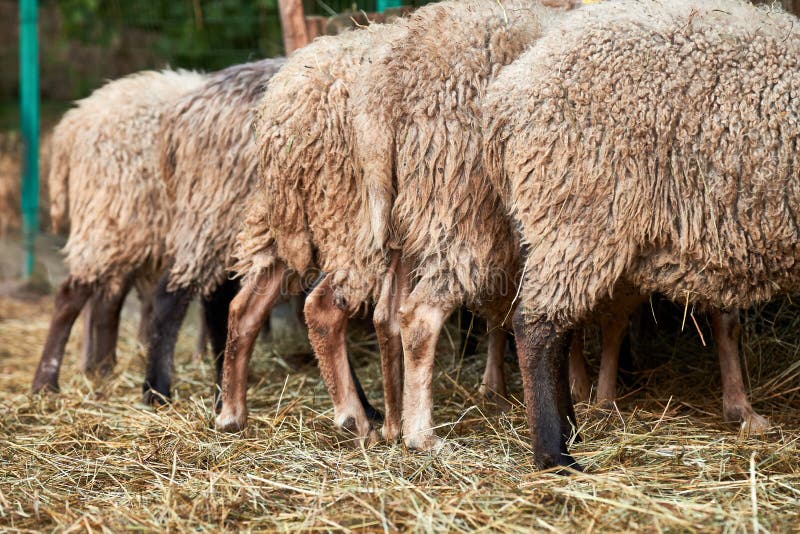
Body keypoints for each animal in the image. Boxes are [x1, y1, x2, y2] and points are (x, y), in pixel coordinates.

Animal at [31, 70, 205, 393]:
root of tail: (74, 123)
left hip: (128, 231)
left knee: (108, 301)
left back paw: (104, 368)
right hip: (115, 216)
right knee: (71, 295)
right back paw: (46, 383)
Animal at [483, 0, 800, 469]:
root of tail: (509, 92)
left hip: (560, 222)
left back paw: (571, 431)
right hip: (580, 210)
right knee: (536, 325)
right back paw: (555, 455)